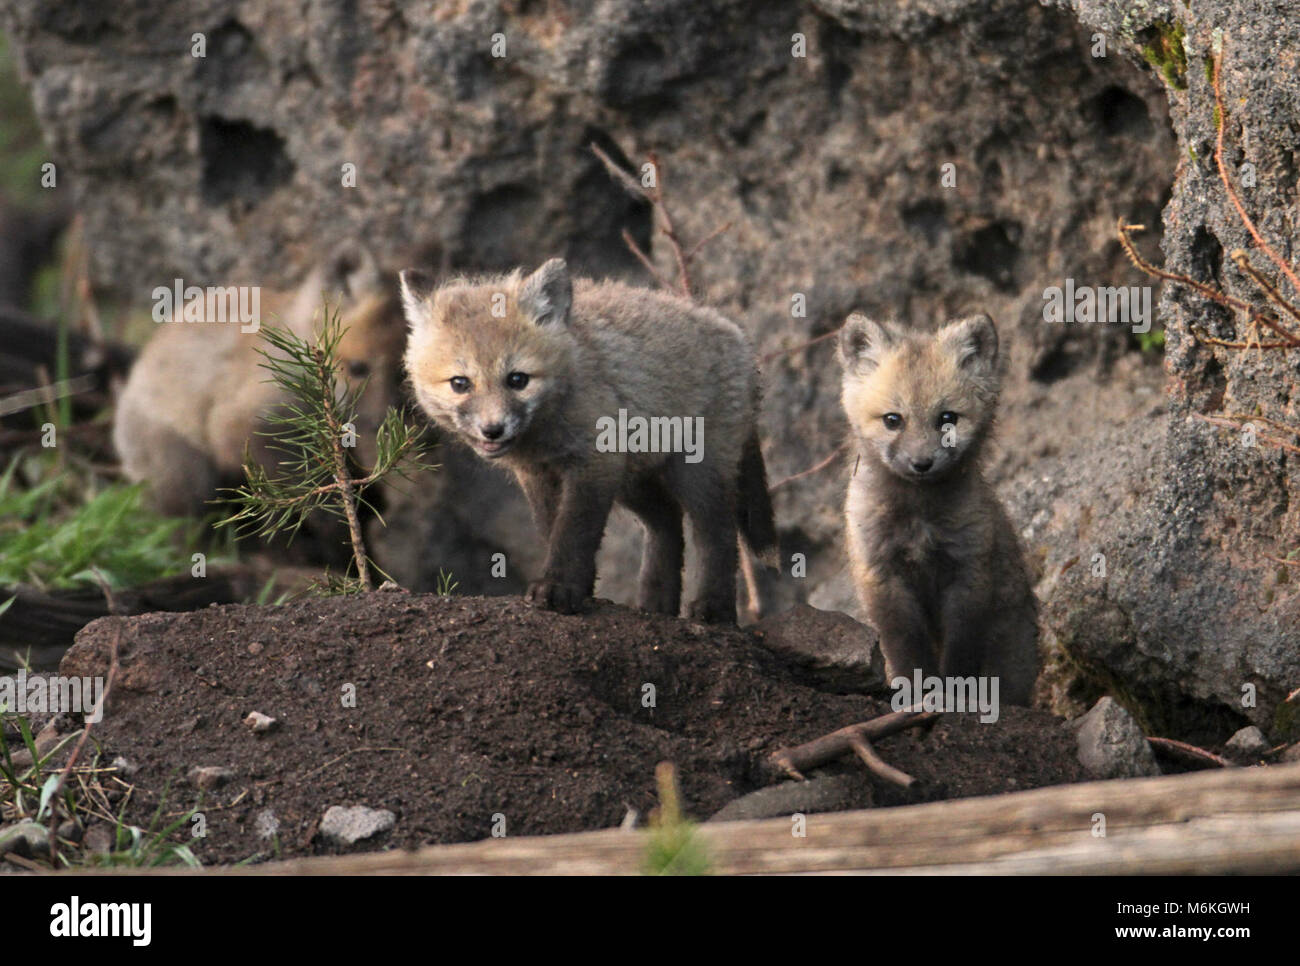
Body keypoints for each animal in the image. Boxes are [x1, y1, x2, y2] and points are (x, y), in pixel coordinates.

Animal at [113, 243, 407, 517]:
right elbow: (304, 489)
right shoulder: (238, 424)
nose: (382, 421)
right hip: (186, 479)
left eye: (401, 373)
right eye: (358, 368)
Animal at [399, 258, 776, 622]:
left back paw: (714, 608)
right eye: (460, 383)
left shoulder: (595, 463)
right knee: (668, 522)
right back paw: (655, 606)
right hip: (633, 478)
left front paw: (560, 588)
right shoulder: (539, 475)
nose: (493, 430)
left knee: (718, 534)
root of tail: (738, 337)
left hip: (696, 473)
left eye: (517, 380)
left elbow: (575, 530)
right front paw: (580, 587)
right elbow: (553, 529)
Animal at [837, 311, 1039, 705]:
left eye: (948, 418)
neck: (918, 519)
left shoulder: (968, 572)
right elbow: (906, 650)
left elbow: (961, 651)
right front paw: (917, 693)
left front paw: (956, 694)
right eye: (892, 420)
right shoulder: (882, 577)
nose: (922, 464)